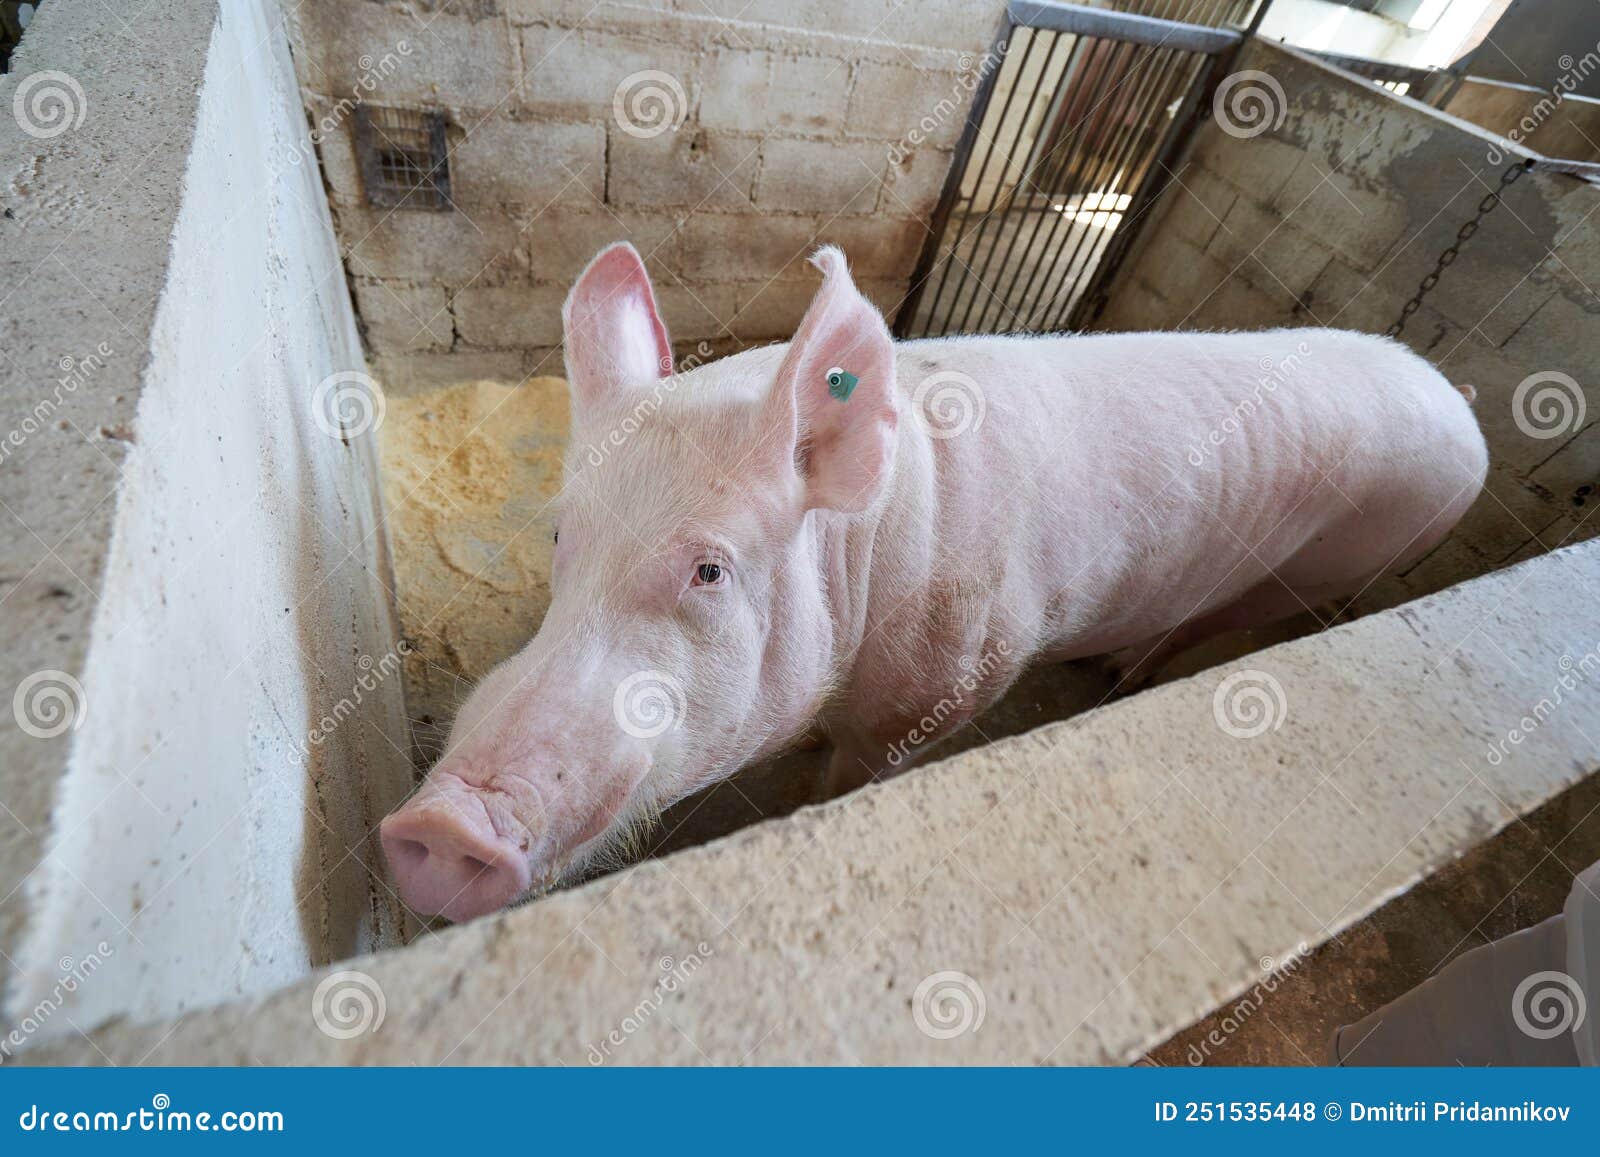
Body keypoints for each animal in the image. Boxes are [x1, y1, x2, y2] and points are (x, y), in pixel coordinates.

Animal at [379, 242, 1487, 922]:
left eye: (708, 568)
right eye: (561, 534)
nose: (438, 821)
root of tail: (1463, 410)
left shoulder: (950, 684)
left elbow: (850, 780)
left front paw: (807, 808)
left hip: (1345, 562)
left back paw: (1124, 676)